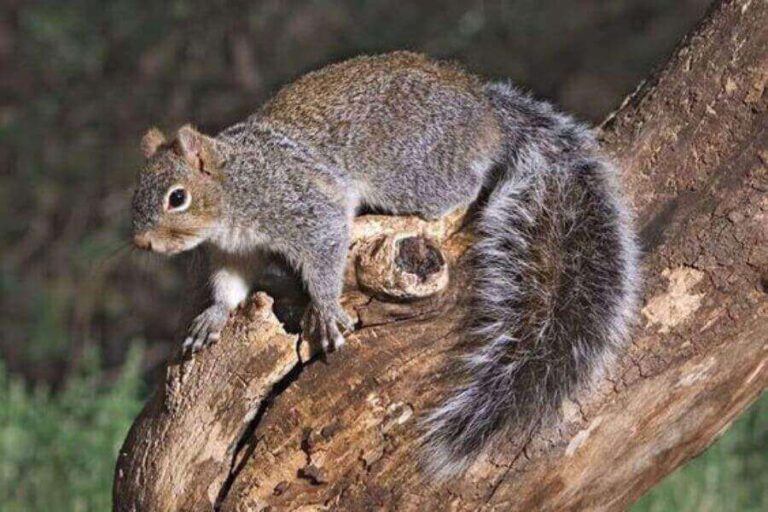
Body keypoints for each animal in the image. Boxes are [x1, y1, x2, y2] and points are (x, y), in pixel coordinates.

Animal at [131, 51, 640, 478]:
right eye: (136, 194)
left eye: (177, 197)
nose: (140, 242)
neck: (234, 188)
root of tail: (486, 110)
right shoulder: (234, 253)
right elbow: (230, 287)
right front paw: (212, 318)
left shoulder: (305, 209)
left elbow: (324, 250)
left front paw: (324, 310)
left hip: (412, 174)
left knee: (467, 184)